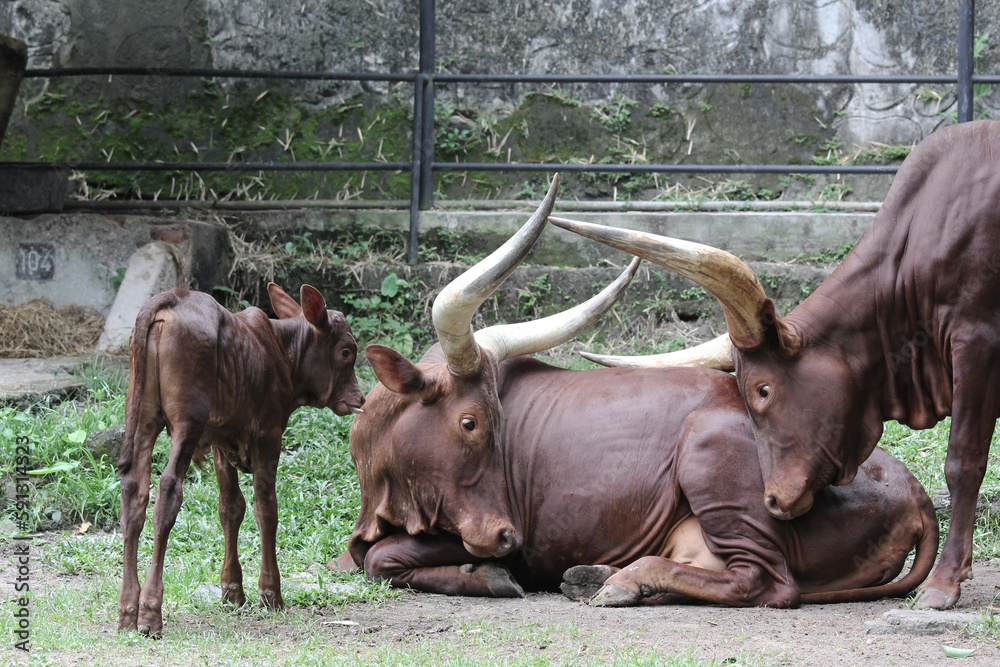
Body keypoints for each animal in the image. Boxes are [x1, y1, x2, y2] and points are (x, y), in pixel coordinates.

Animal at [116, 284, 365, 636]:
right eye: (346, 351)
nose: (361, 398)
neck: (281, 351)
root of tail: (172, 298)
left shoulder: (222, 441)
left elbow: (231, 508)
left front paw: (232, 589)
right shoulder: (267, 437)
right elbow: (266, 510)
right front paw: (271, 593)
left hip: (143, 419)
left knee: (134, 491)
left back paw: (127, 611)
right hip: (187, 423)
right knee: (168, 490)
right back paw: (151, 611)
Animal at [344, 176, 938, 608]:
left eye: (486, 425)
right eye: (470, 422)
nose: (506, 538)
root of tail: (917, 494)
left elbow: (380, 559)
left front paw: (489, 575)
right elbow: (363, 558)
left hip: (710, 454)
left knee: (767, 584)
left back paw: (623, 581)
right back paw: (596, 575)